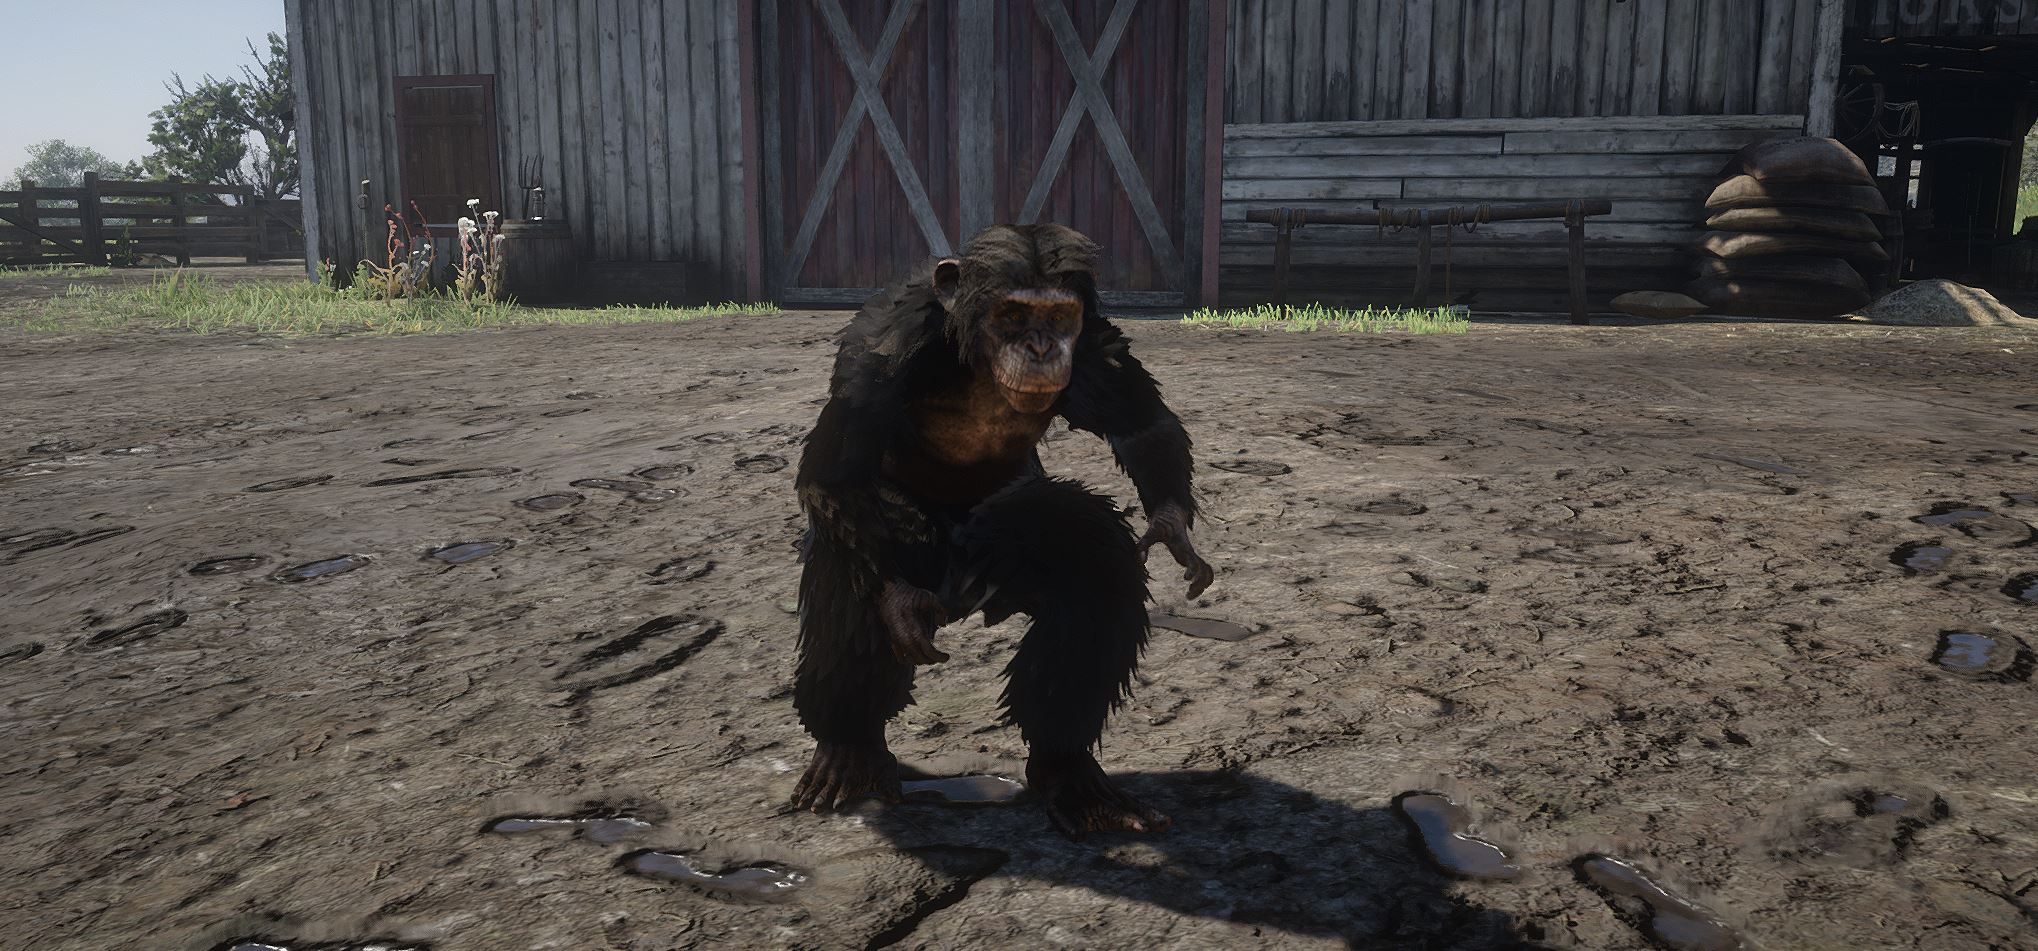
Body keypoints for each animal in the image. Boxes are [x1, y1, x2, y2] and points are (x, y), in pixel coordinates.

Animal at [789, 223, 1212, 839]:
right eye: (1012, 315)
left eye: (1058, 317)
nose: (1041, 348)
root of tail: (963, 597)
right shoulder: (884, 346)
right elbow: (835, 476)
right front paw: (896, 604)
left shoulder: (1091, 343)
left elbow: (1138, 420)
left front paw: (1171, 528)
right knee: (848, 573)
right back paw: (849, 749)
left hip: (993, 553)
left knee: (1094, 561)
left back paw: (1071, 773)